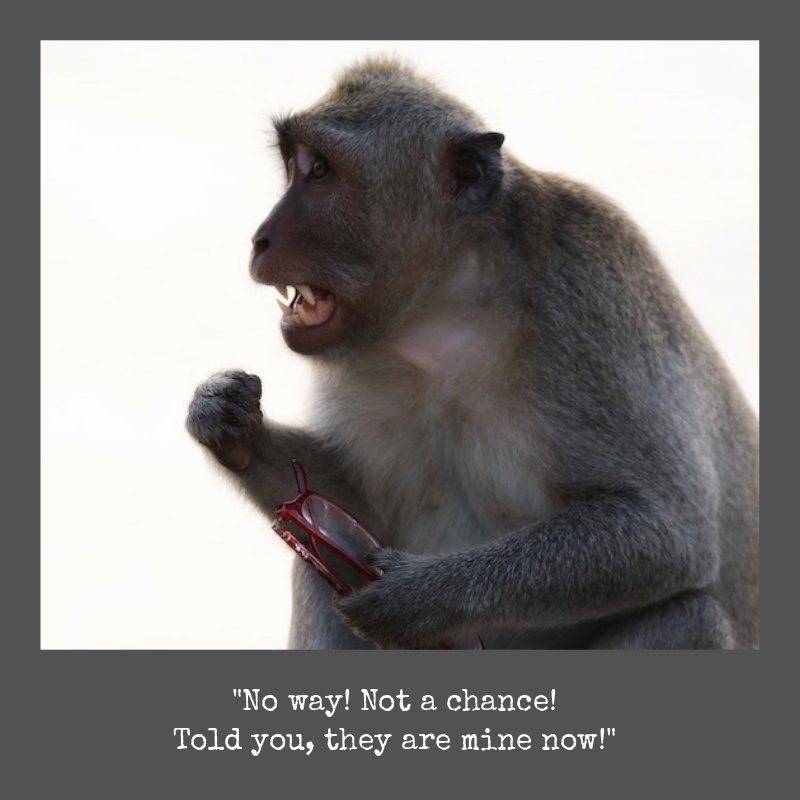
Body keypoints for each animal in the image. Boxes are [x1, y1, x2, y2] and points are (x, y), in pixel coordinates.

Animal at [186, 57, 758, 650]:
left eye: (319, 170)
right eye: (293, 165)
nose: (259, 239)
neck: (448, 305)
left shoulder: (591, 298)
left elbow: (668, 529)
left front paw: (418, 597)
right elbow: (351, 507)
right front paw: (228, 421)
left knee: (690, 614)